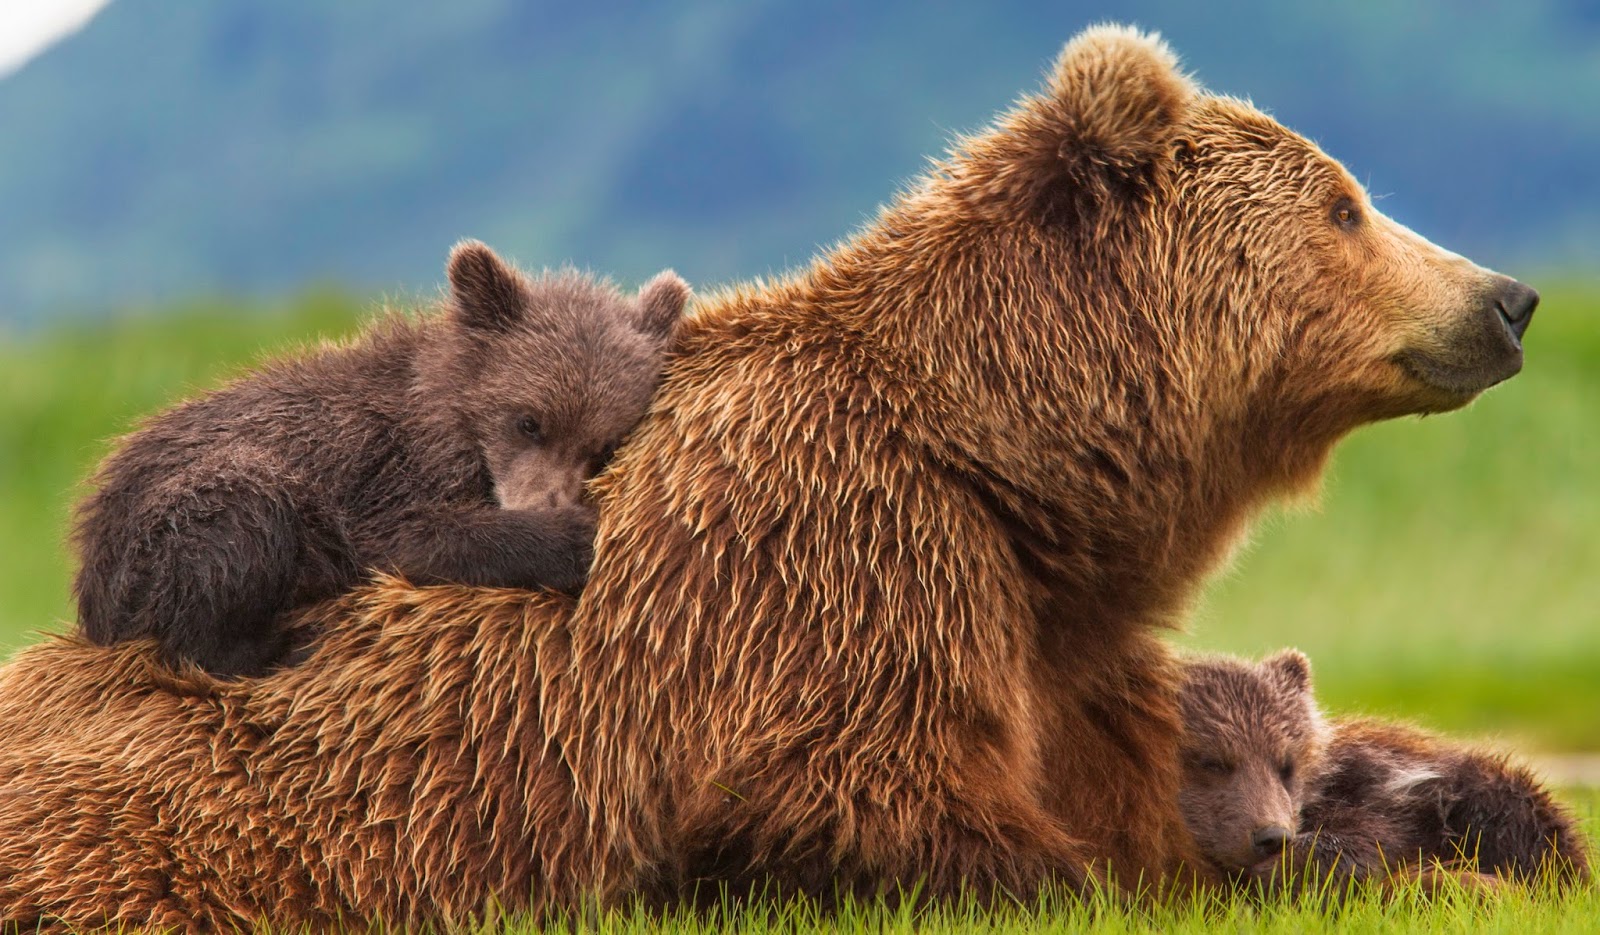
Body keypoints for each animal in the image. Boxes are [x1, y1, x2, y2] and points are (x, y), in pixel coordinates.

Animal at [71, 240, 689, 677]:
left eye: (602, 446)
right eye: (529, 421)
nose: (546, 503)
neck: (448, 417)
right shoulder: (383, 471)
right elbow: (412, 538)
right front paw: (573, 537)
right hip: (170, 527)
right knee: (240, 522)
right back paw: (284, 643)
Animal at [1177, 650, 1590, 891]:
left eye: (1286, 764)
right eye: (1212, 761)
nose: (1271, 836)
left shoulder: (1389, 788)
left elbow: (1368, 835)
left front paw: (1290, 867)